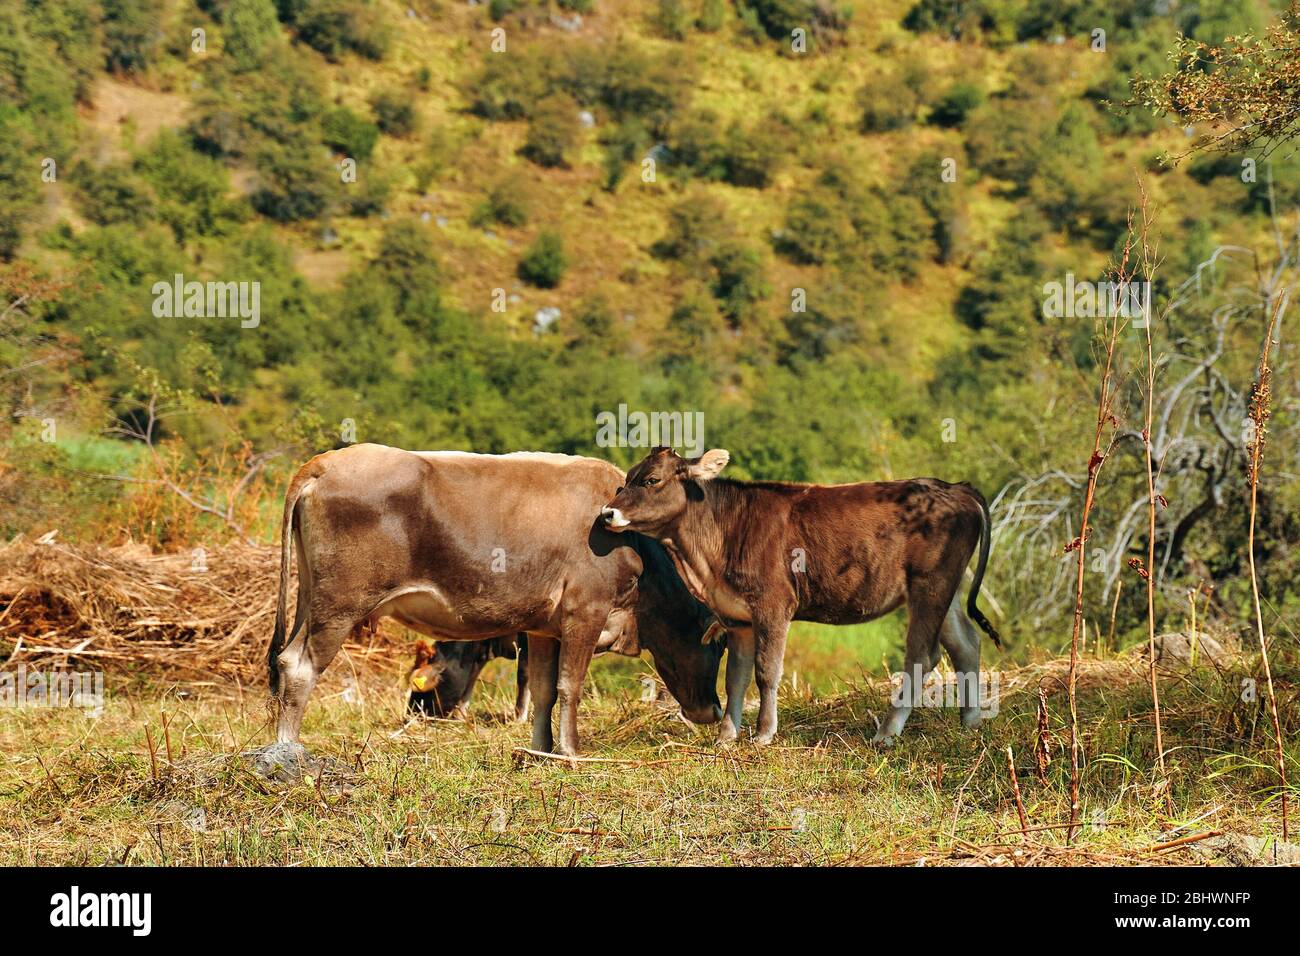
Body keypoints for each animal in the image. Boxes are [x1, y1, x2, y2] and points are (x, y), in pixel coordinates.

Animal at [268, 443, 723, 757]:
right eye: (715, 648)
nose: (713, 712)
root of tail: (324, 462)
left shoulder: (543, 628)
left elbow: (543, 689)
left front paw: (540, 749)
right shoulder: (586, 610)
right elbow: (569, 684)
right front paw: (571, 751)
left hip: (310, 596)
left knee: (285, 658)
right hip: (339, 603)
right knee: (300, 664)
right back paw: (289, 750)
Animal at [599, 447, 1000, 746]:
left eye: (652, 480)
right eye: (626, 480)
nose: (606, 513)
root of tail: (954, 486)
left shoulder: (773, 604)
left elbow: (766, 672)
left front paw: (763, 734)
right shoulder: (736, 616)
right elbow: (735, 677)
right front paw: (726, 736)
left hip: (931, 583)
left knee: (923, 654)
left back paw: (887, 733)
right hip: (944, 589)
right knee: (965, 643)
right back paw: (970, 722)